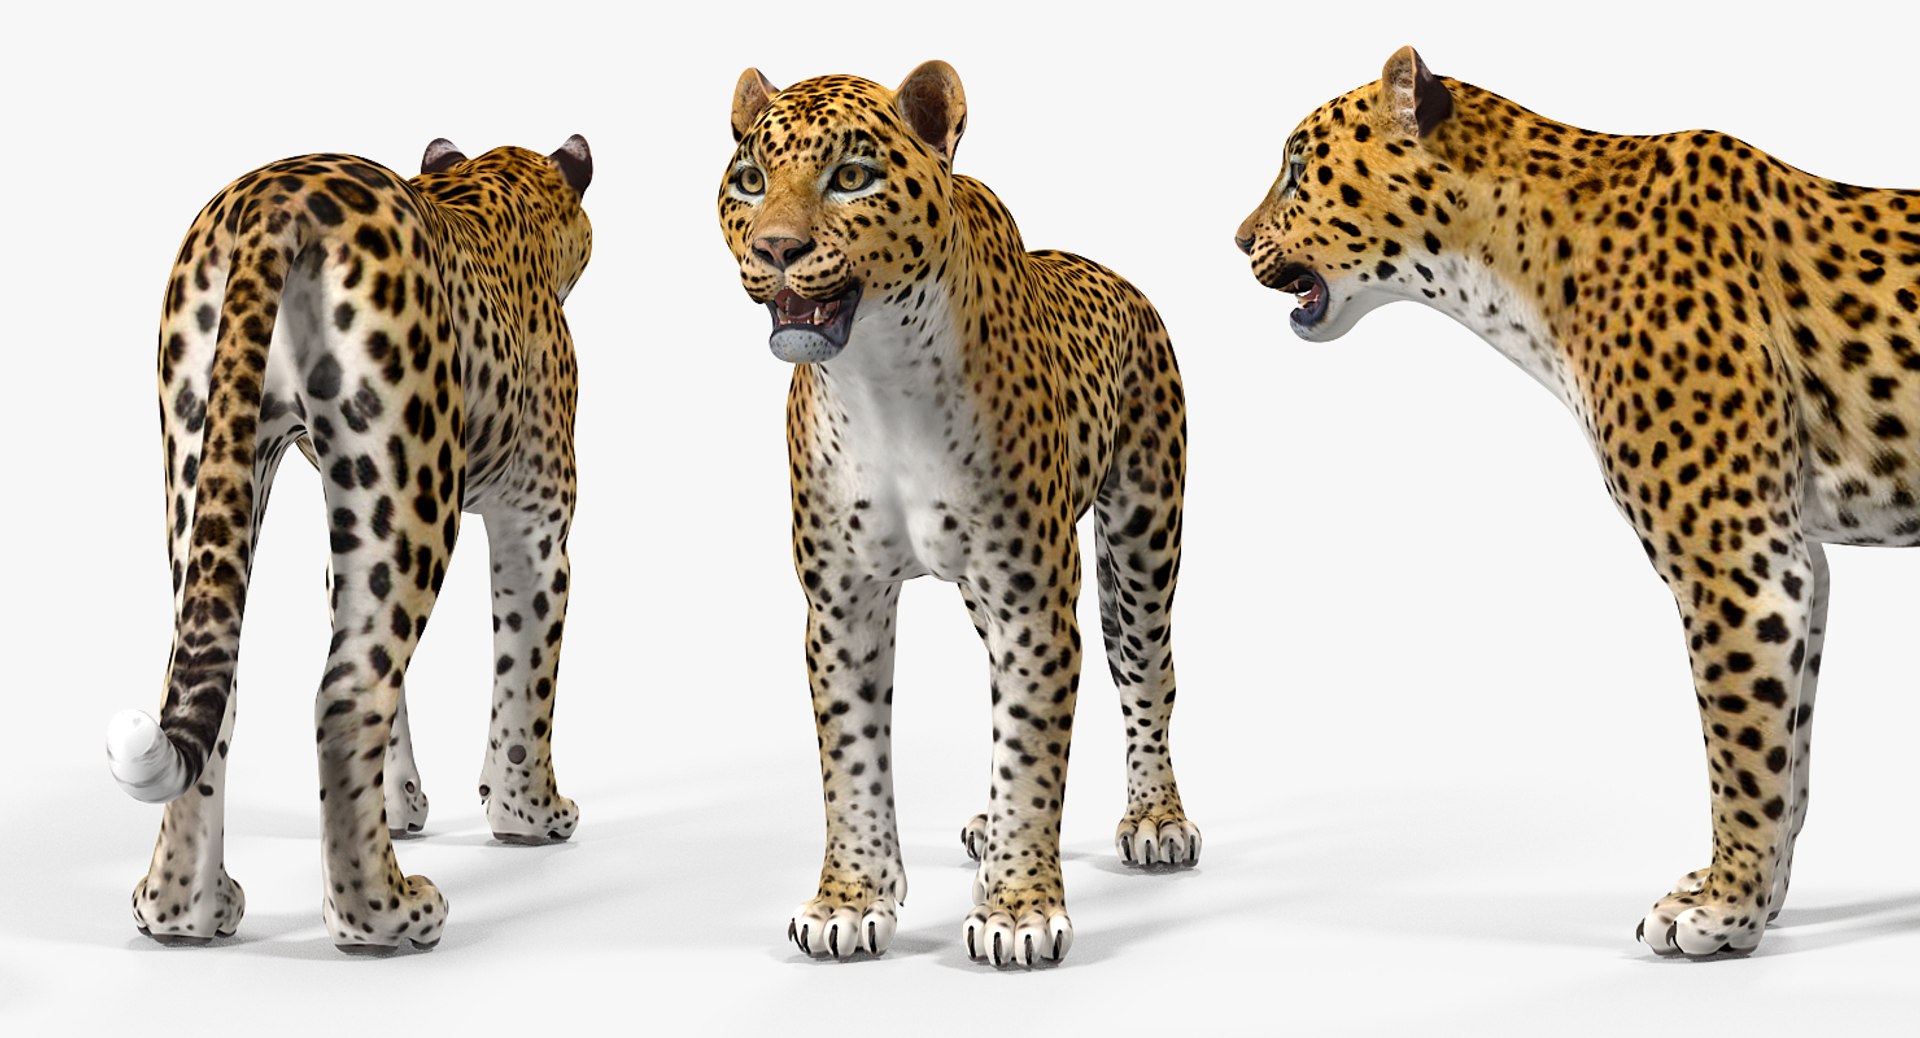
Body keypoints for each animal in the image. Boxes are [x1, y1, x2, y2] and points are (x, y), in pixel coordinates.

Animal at [105, 135, 594, 951]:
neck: (498, 187)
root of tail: (273, 200)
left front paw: (400, 807)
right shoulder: (536, 528)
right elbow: (527, 682)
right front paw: (529, 814)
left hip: (211, 464)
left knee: (209, 679)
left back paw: (183, 912)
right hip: (413, 489)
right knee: (346, 694)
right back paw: (386, 915)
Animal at [720, 61, 1202, 967]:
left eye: (851, 177)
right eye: (751, 181)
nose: (775, 250)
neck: (880, 375)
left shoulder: (1033, 604)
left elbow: (1031, 751)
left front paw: (1018, 911)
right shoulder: (842, 602)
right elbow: (853, 756)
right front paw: (849, 899)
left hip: (1142, 543)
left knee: (1147, 676)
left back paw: (1156, 818)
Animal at [1236, 46, 1918, 958]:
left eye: (1299, 168)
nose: (1237, 239)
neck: (1515, 267)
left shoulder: (1737, 561)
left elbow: (1740, 745)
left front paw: (1724, 912)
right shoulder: (1795, 549)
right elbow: (1791, 748)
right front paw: (1755, 898)